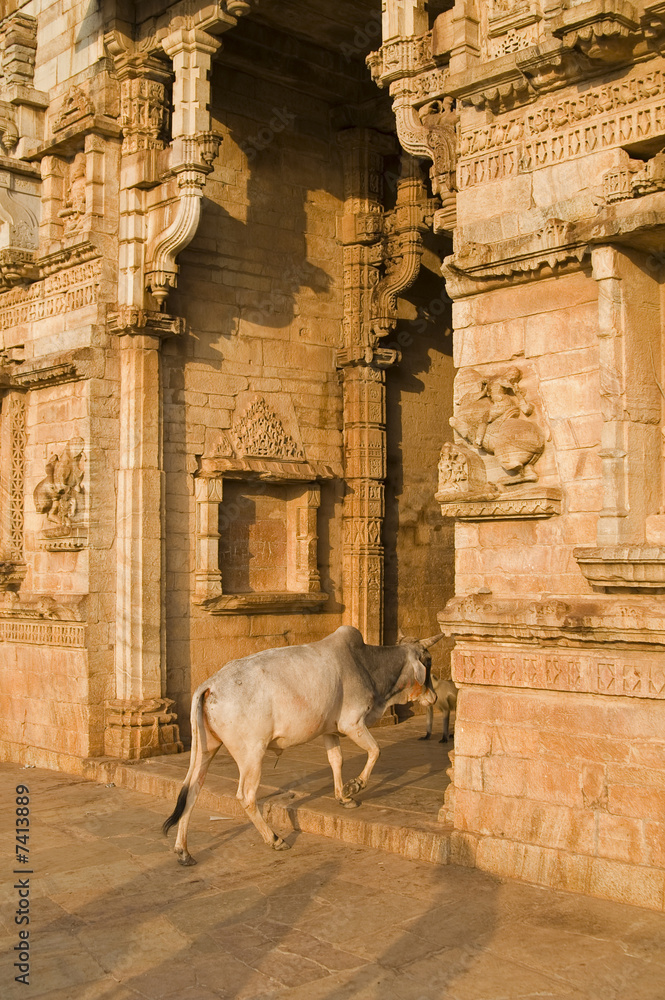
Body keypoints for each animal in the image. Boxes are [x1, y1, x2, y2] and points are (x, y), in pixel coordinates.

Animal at [163, 625, 442, 865]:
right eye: (427, 662)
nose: (435, 697)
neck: (365, 664)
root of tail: (209, 685)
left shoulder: (330, 730)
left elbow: (336, 760)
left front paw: (343, 796)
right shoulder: (352, 723)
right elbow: (375, 750)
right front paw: (355, 786)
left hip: (206, 749)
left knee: (191, 791)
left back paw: (183, 851)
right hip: (251, 754)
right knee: (246, 796)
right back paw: (275, 839)